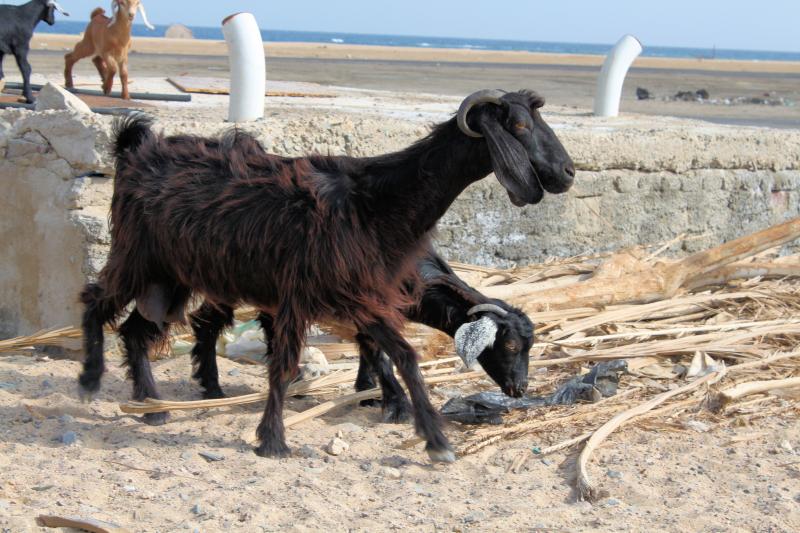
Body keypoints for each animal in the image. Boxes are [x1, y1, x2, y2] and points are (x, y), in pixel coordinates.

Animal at [188, 246, 533, 426]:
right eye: (510, 344)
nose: (519, 388)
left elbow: (369, 348)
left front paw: (367, 392)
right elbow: (380, 353)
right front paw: (396, 407)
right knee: (206, 322)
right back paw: (212, 387)